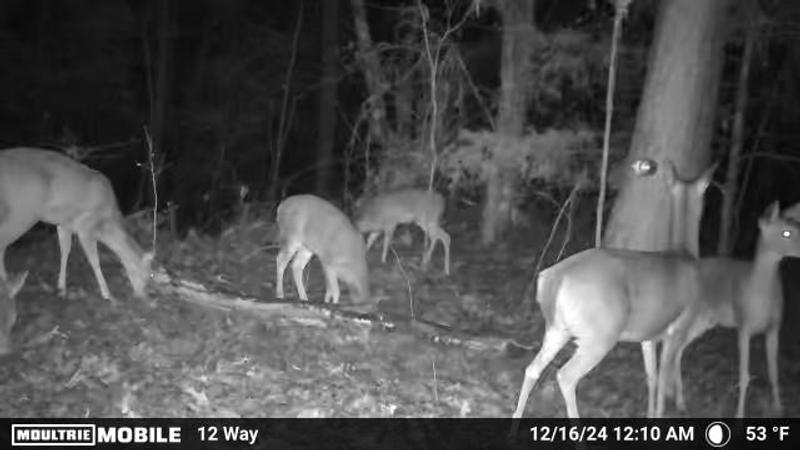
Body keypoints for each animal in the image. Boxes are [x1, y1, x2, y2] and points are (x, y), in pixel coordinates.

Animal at [0, 148, 154, 302]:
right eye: (147, 275)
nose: (143, 296)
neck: (106, 225)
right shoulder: (85, 228)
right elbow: (94, 260)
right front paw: (107, 294)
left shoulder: (64, 224)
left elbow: (65, 252)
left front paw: (61, 288)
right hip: (22, 210)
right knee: (3, 241)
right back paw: (7, 285)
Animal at [512, 160, 715, 419]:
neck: (683, 254)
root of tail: (554, 279)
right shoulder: (680, 326)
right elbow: (664, 377)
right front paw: (669, 409)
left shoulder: (649, 334)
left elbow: (651, 376)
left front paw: (651, 414)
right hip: (601, 333)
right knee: (566, 376)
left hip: (557, 328)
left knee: (532, 369)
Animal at [656, 201, 800, 418]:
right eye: (786, 233)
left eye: (797, 228)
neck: (759, 291)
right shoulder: (744, 323)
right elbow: (744, 375)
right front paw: (739, 414)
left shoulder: (774, 327)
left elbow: (774, 373)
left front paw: (779, 409)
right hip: (692, 315)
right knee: (673, 347)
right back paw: (677, 399)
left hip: (704, 320)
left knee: (678, 350)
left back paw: (681, 402)